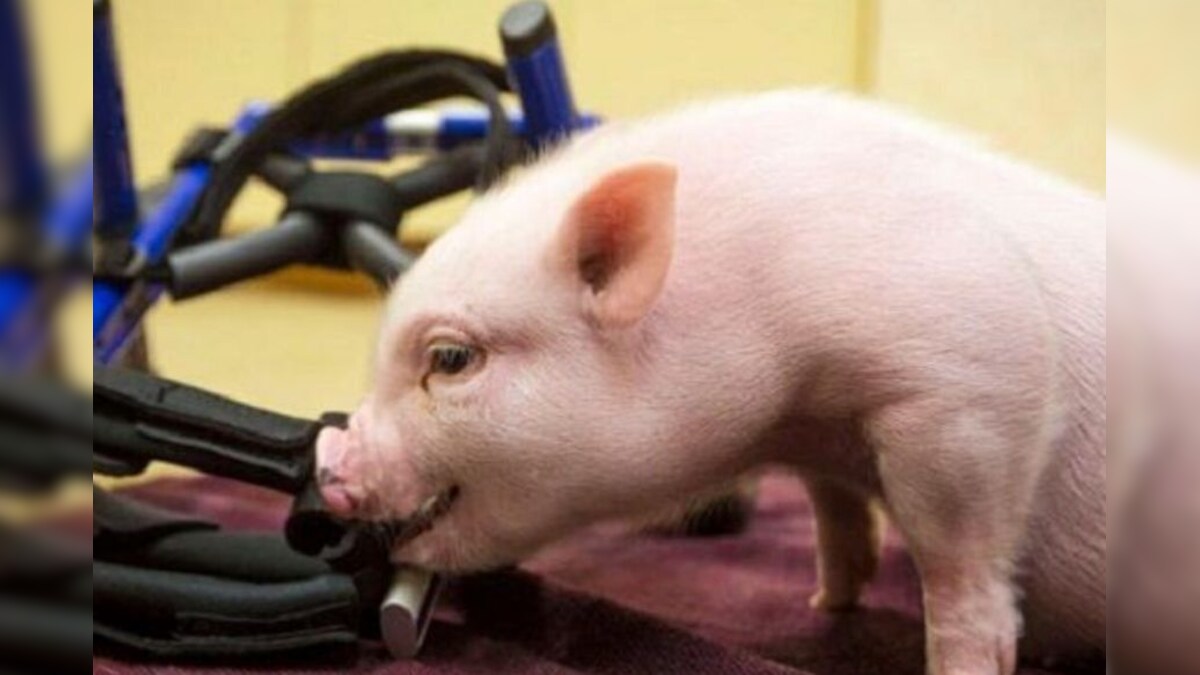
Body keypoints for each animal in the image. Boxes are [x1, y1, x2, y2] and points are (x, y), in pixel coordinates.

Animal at [317, 91, 1106, 674]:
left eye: (451, 359)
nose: (326, 461)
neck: (794, 412)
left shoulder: (975, 378)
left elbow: (959, 563)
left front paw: (962, 662)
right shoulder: (828, 440)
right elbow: (834, 503)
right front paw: (829, 605)